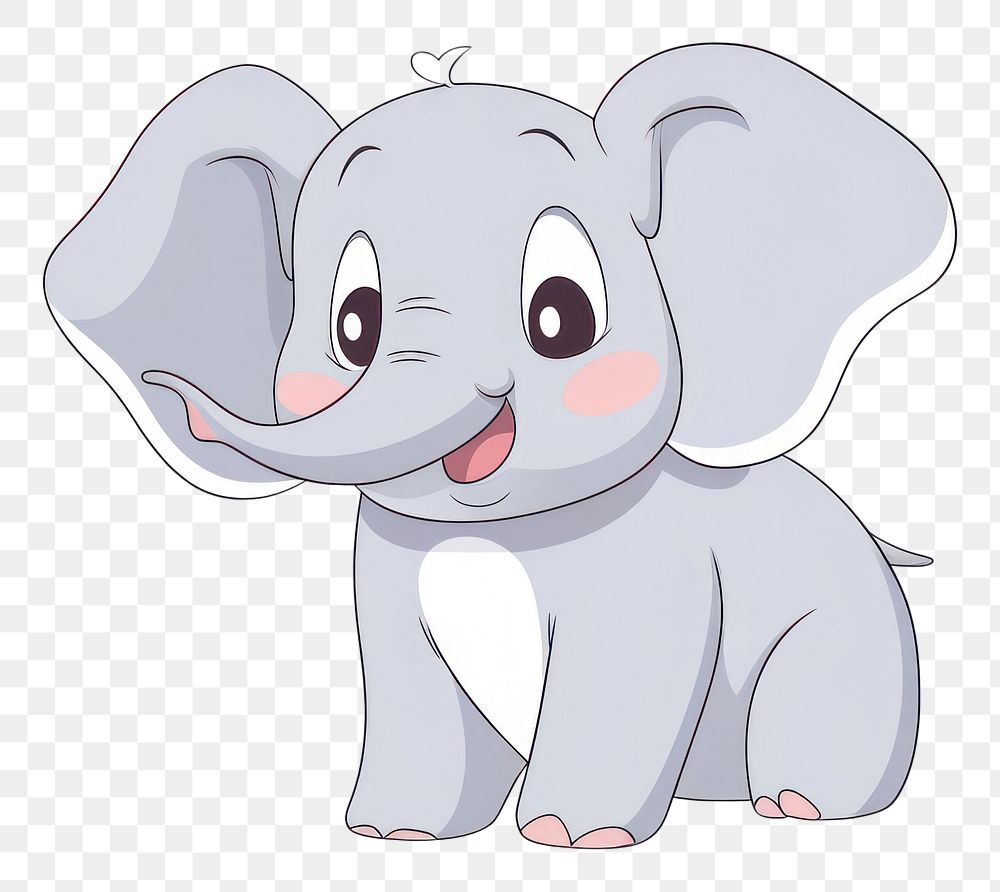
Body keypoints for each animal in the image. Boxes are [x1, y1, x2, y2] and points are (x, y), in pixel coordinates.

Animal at [44, 44, 955, 848]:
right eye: (352, 325)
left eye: (562, 314)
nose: (176, 391)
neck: (500, 530)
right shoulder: (385, 575)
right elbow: (415, 693)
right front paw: (394, 832)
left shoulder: (653, 573)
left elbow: (619, 673)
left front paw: (570, 837)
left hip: (850, 628)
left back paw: (800, 806)